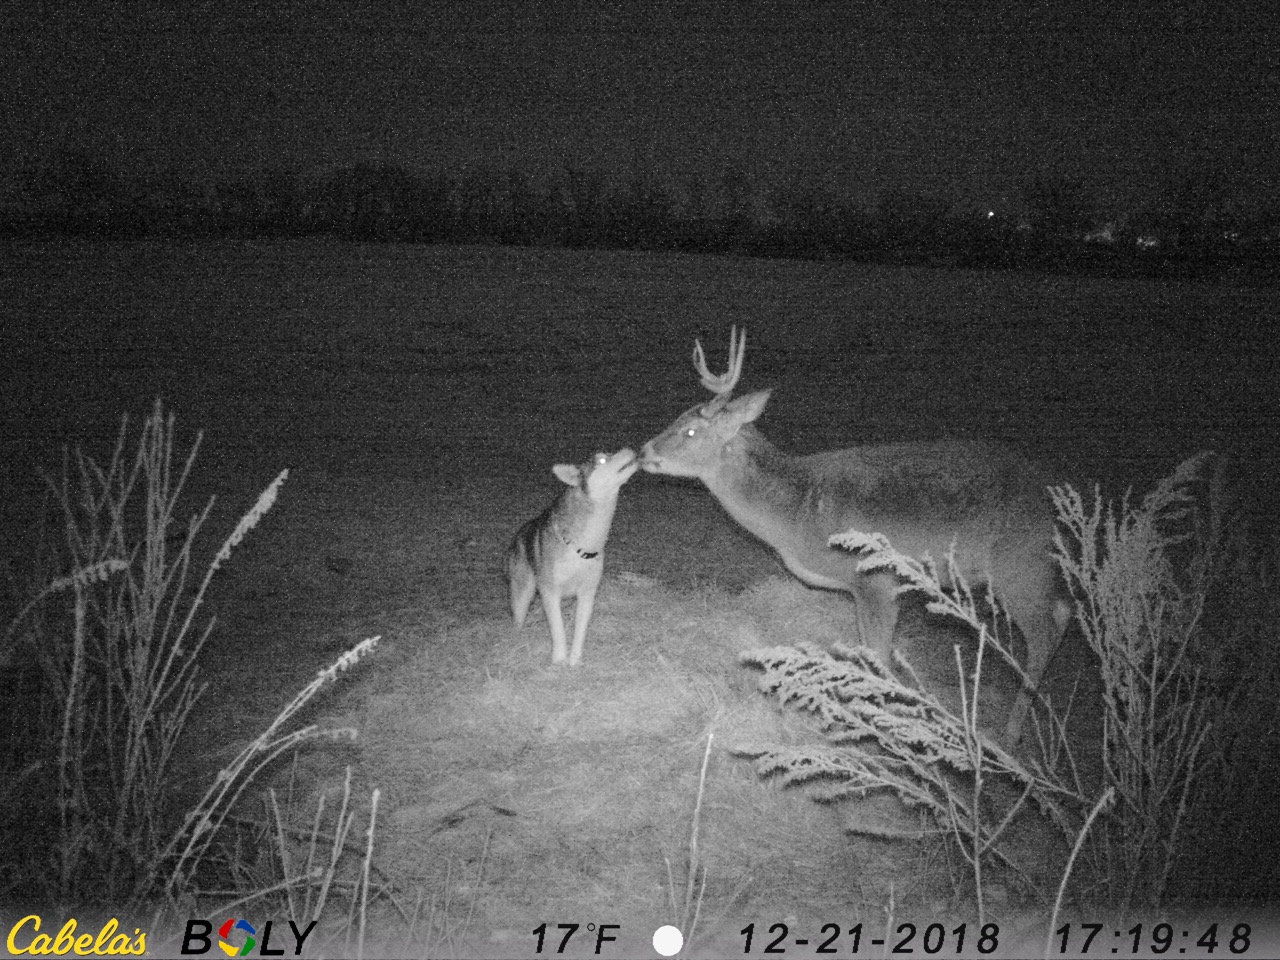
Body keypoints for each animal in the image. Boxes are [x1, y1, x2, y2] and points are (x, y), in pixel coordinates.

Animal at [508, 448, 640, 667]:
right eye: (602, 459)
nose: (629, 450)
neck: (581, 547)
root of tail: (520, 532)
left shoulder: (587, 592)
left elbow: (580, 630)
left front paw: (575, 660)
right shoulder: (550, 591)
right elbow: (558, 630)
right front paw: (559, 659)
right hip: (523, 592)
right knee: (518, 618)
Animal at [639, 328, 1069, 744]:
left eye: (689, 431)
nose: (643, 452)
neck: (797, 513)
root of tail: (1051, 499)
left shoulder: (877, 579)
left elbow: (879, 657)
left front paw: (884, 730)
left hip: (1018, 564)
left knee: (1043, 635)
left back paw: (1009, 734)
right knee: (1063, 611)